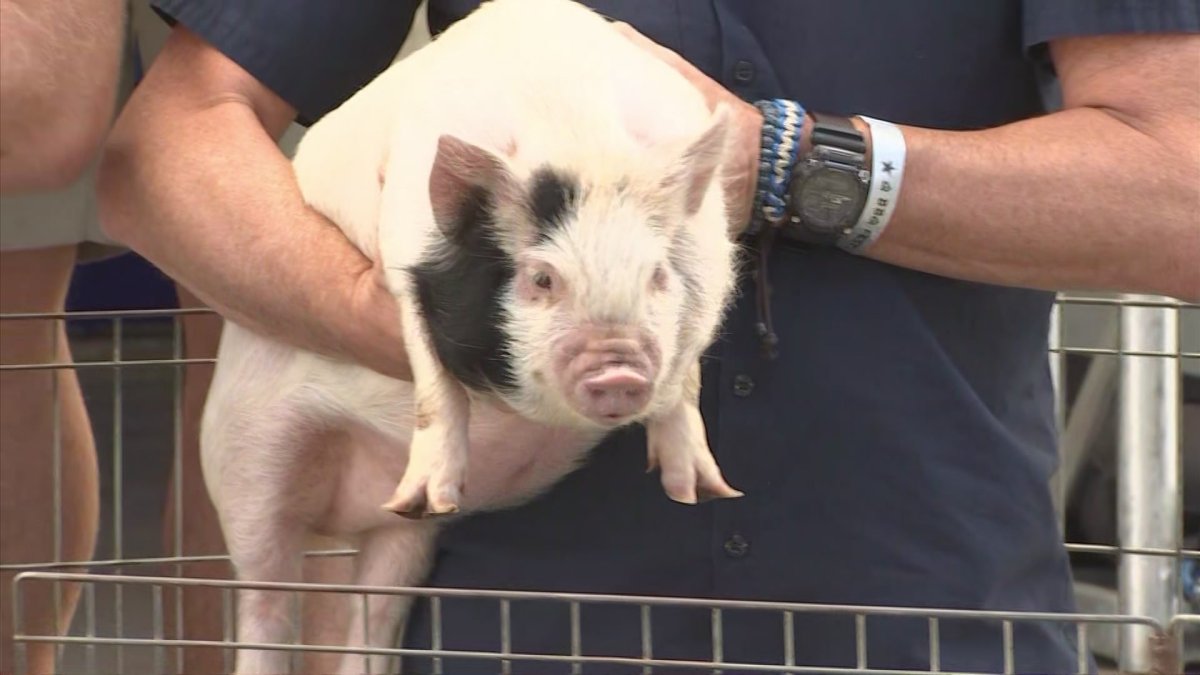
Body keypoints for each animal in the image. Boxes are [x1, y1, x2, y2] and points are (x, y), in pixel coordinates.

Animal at [199, 0, 744, 672]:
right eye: (541, 278)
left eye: (658, 274)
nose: (617, 365)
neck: (575, 131)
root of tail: (345, 520)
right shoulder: (403, 250)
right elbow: (436, 385)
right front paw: (440, 481)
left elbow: (685, 387)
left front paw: (701, 491)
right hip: (245, 462)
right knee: (265, 600)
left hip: (402, 546)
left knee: (371, 613)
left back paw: (416, 508)